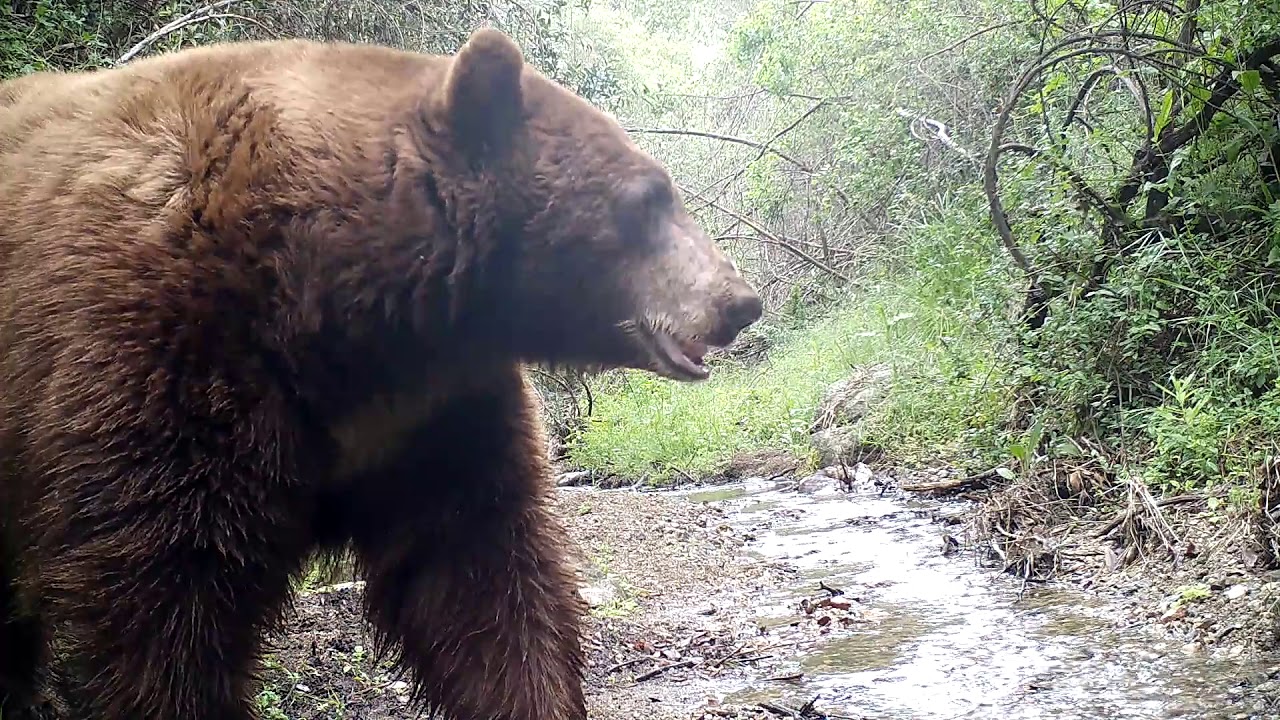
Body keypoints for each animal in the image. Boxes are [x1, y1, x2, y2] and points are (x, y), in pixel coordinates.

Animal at [0, 27, 762, 720]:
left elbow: (485, 577)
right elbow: (167, 597)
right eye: (651, 197)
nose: (739, 301)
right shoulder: (169, 358)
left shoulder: (430, 411)